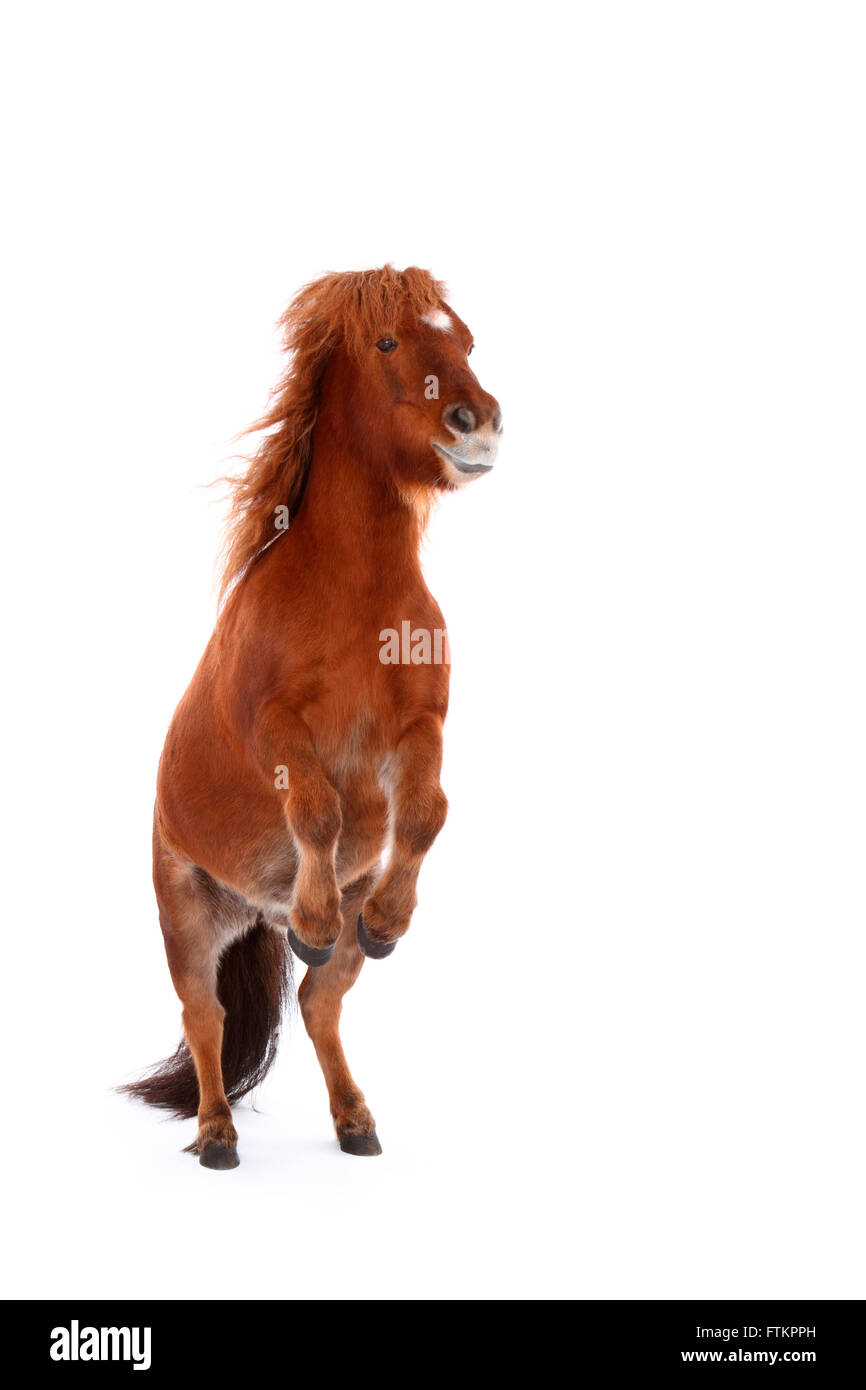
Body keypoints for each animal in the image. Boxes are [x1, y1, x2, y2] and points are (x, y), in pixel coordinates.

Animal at [122, 266, 502, 1169]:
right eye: (389, 340)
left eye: (468, 341)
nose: (479, 424)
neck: (354, 597)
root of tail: (254, 912)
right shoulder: (274, 728)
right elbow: (320, 808)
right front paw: (319, 919)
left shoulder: (423, 723)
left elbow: (427, 811)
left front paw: (385, 921)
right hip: (184, 910)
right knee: (206, 1016)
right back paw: (217, 1134)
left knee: (319, 1003)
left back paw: (355, 1118)